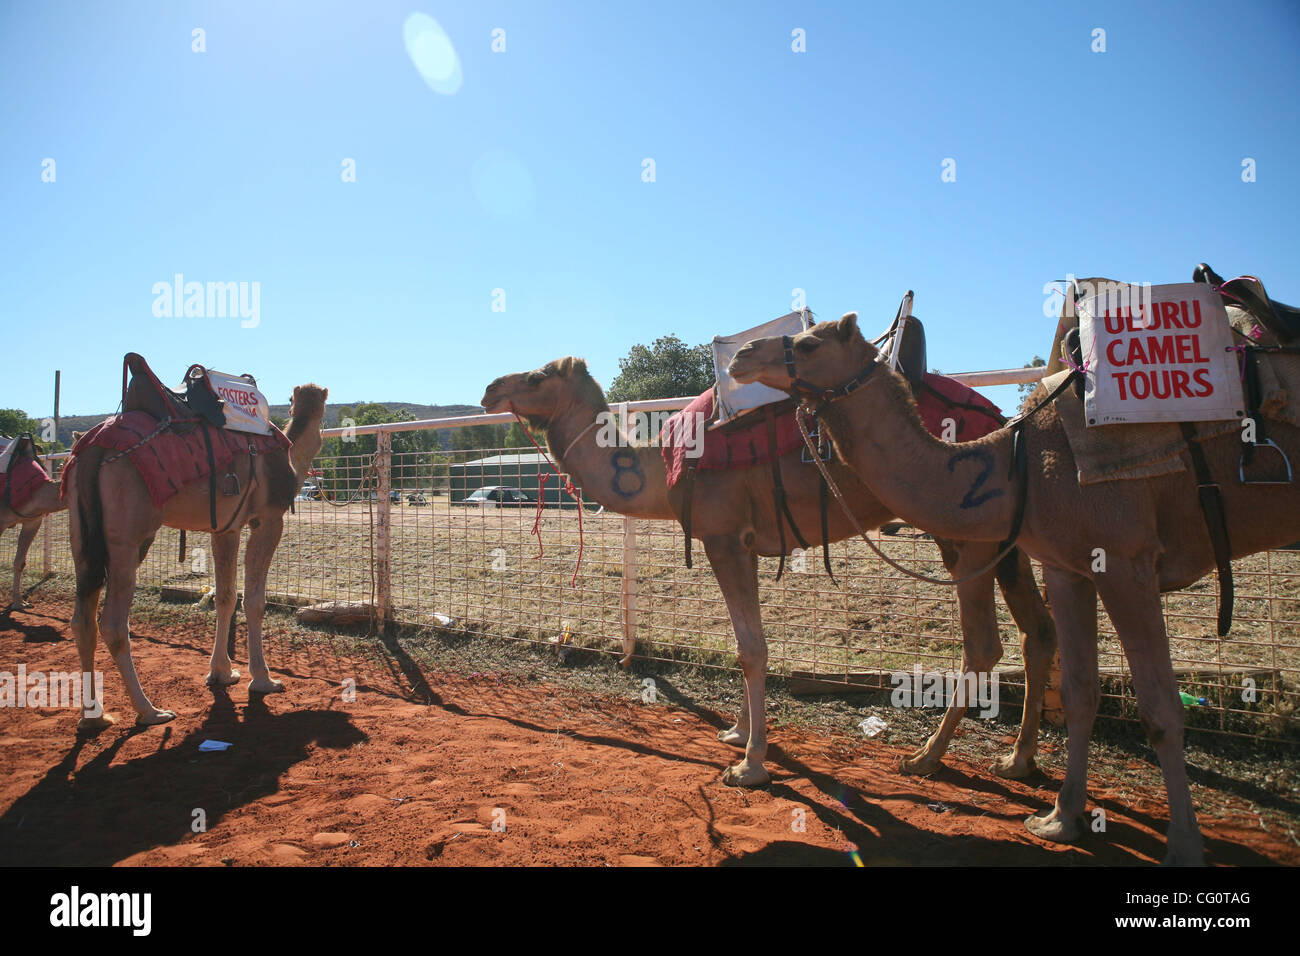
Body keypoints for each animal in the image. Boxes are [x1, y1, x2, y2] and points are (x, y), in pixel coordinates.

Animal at [66, 383, 327, 731]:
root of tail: (92, 448)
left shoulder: (226, 529)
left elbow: (226, 597)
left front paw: (221, 673)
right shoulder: (269, 519)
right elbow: (254, 600)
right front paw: (263, 679)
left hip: (81, 535)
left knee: (82, 619)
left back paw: (94, 717)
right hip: (128, 536)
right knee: (113, 623)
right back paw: (150, 711)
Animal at [481, 357, 1057, 787]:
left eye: (537, 376)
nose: (490, 388)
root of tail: (1001, 422)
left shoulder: (723, 538)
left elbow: (751, 649)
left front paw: (750, 764)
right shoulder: (748, 544)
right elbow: (751, 642)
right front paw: (738, 733)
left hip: (964, 533)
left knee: (984, 646)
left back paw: (925, 758)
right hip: (1008, 537)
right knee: (1039, 632)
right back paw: (1016, 761)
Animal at [728, 312, 1300, 863]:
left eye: (809, 344)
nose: (740, 356)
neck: (1020, 461)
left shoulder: (1125, 559)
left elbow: (1159, 709)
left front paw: (1183, 845)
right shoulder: (1069, 567)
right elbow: (1079, 691)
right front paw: (1060, 819)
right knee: (1033, 639)